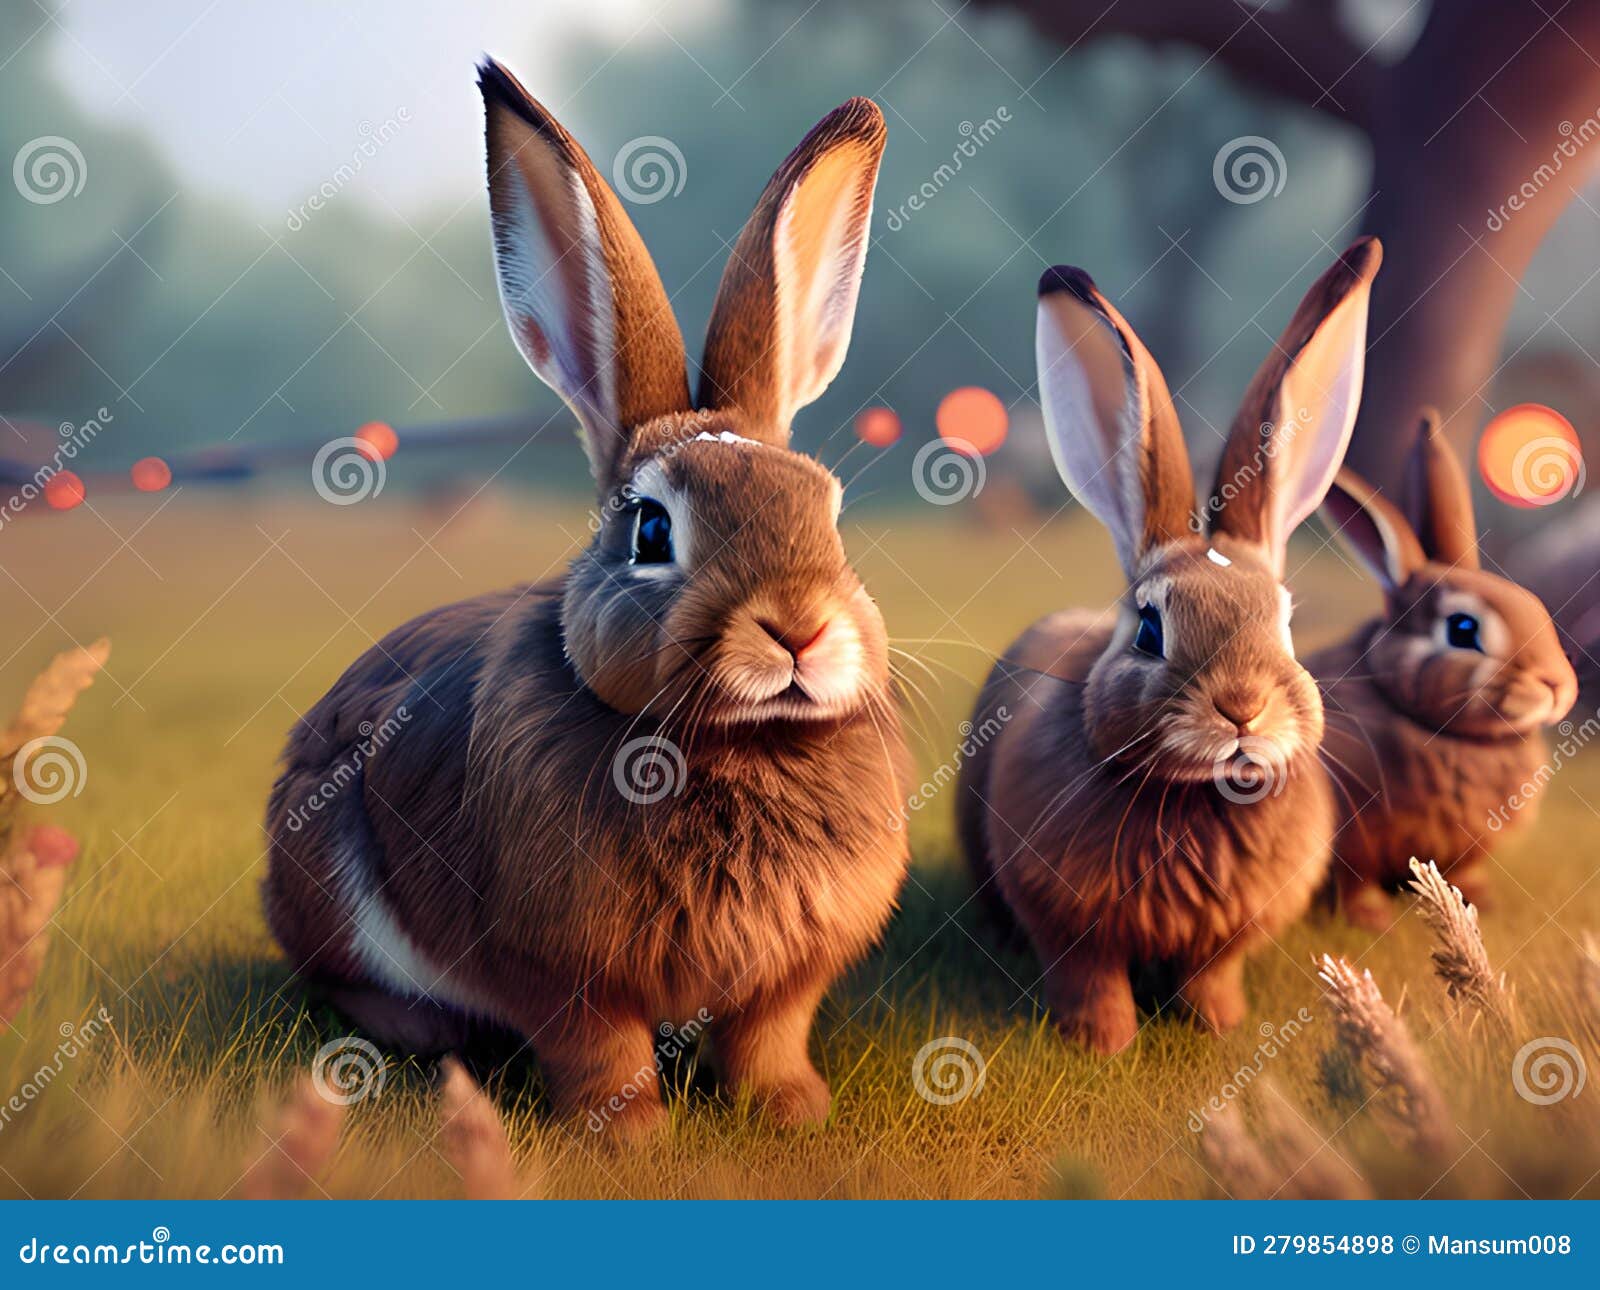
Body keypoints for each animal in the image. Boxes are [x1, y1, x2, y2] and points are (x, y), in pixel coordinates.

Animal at [262, 59, 909, 1137]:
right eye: (650, 531)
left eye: (830, 513)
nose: (800, 629)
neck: (731, 744)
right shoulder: (558, 969)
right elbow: (595, 1045)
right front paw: (627, 1136)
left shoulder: (788, 976)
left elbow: (766, 1034)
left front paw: (791, 1110)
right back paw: (427, 1032)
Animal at [956, 238, 1382, 1054]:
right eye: (1150, 629)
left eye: (1285, 622)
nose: (1242, 708)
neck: (1196, 797)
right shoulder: (1070, 927)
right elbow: (1090, 979)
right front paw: (1103, 1043)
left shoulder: (1227, 935)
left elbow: (1211, 975)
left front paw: (1219, 1027)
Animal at [1309, 411, 1579, 928]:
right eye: (1463, 628)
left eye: (1533, 603)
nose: (1557, 685)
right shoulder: (1351, 832)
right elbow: (1352, 877)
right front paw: (1368, 917)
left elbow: (1462, 871)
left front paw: (1481, 901)